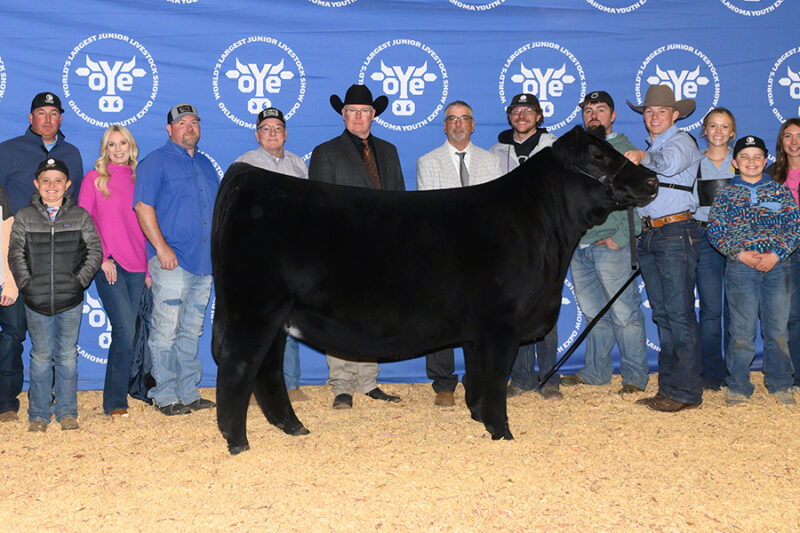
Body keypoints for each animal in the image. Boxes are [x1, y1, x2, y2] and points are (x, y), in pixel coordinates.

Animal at [211, 125, 657, 454]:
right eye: (598, 156)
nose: (652, 179)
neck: (543, 228)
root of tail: (249, 176)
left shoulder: (479, 330)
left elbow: (478, 376)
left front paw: (479, 417)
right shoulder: (501, 325)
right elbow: (496, 378)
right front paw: (502, 432)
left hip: (276, 313)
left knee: (267, 369)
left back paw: (292, 427)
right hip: (252, 308)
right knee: (238, 367)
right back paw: (237, 441)